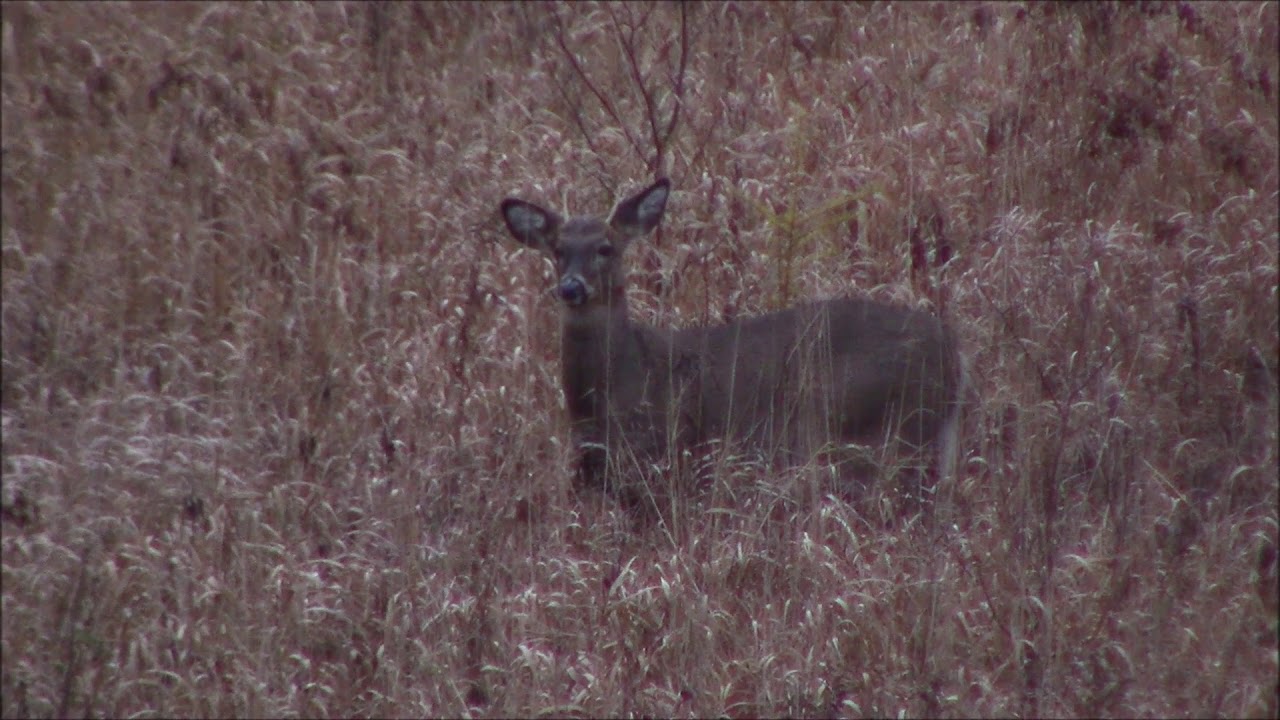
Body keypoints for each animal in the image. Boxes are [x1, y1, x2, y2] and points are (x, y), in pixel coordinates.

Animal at [499, 178, 965, 519]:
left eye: (605, 248)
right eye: (558, 250)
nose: (571, 287)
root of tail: (954, 357)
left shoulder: (667, 456)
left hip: (868, 425)